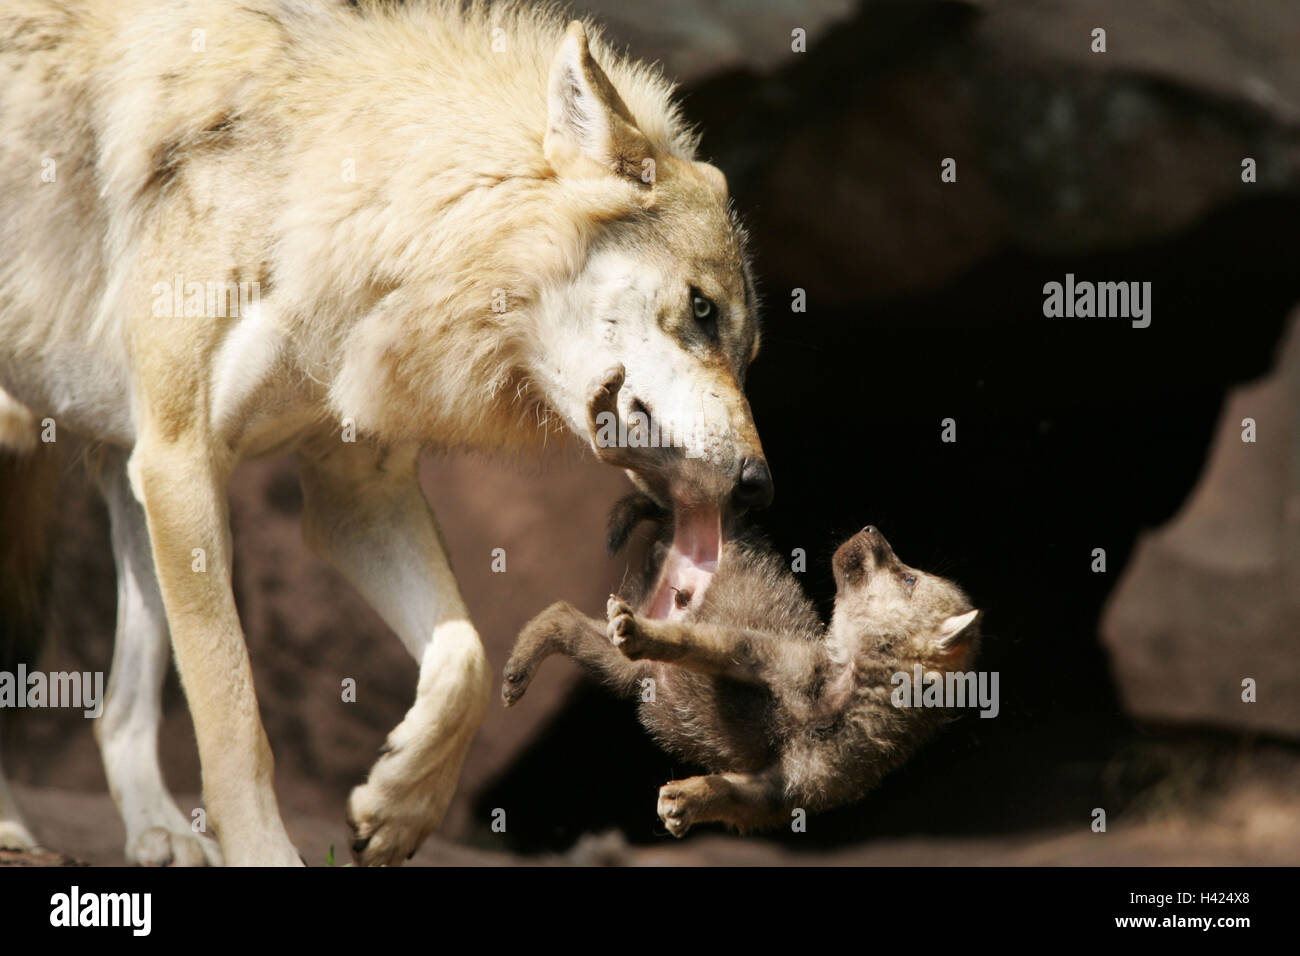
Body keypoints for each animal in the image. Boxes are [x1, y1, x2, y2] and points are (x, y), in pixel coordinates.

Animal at [0, 0, 770, 865]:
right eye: (702, 309)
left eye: (751, 354)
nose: (759, 485)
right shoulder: (182, 460)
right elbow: (235, 724)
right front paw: (268, 851)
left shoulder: (352, 492)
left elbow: (466, 659)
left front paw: (398, 804)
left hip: (131, 494)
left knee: (117, 717)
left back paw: (159, 833)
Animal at [504, 395, 981, 834]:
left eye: (908, 579)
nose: (869, 527)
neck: (847, 685)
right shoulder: (756, 652)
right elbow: (689, 641)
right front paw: (645, 635)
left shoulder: (785, 789)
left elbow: (731, 792)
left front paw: (687, 799)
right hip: (702, 488)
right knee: (628, 453)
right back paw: (605, 408)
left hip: (620, 663)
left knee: (560, 616)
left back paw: (517, 671)